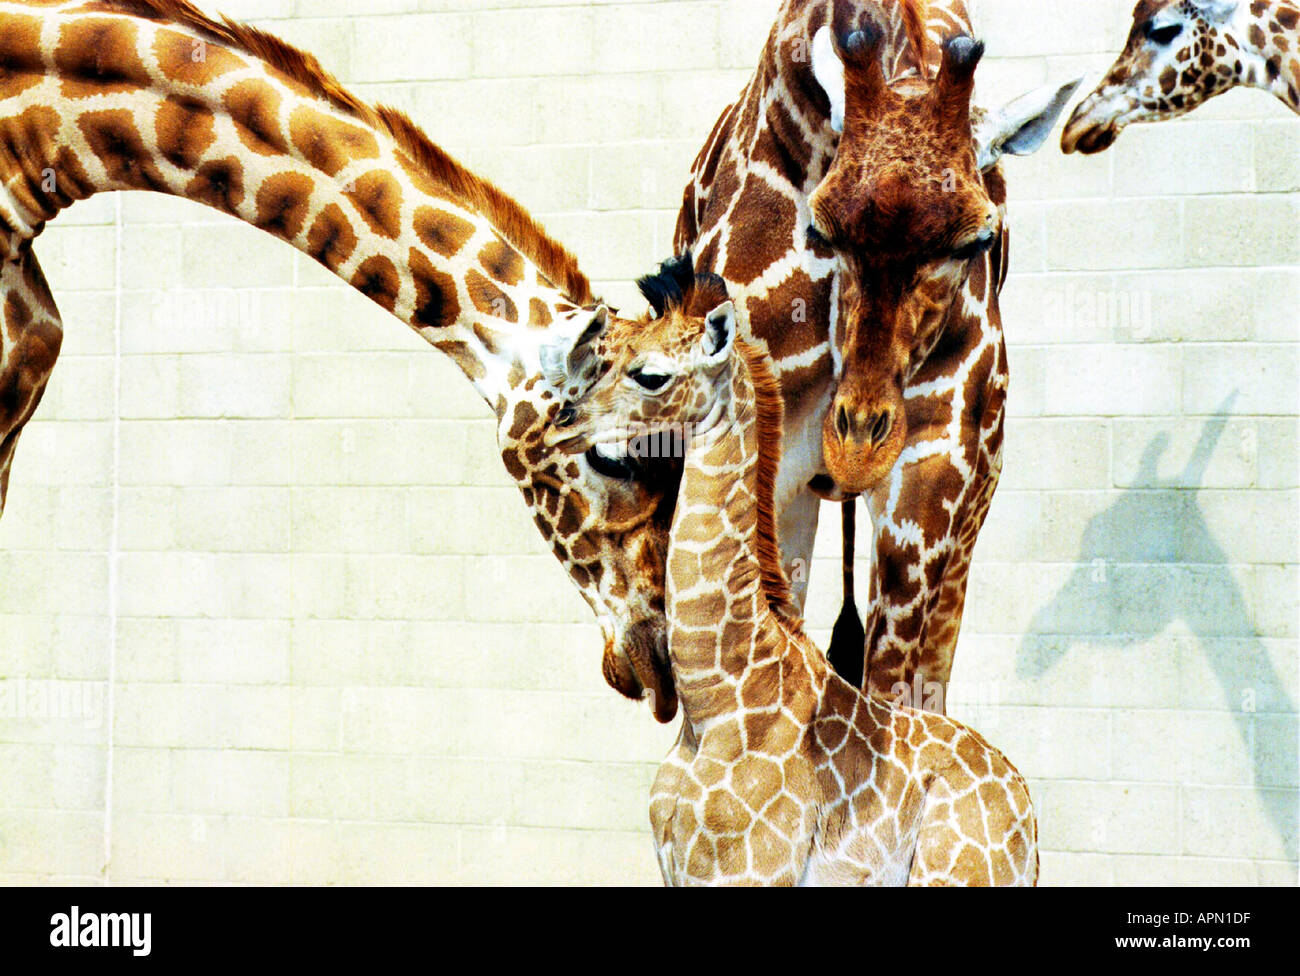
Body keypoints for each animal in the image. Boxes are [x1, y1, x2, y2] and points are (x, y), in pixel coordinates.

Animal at [544, 259, 1038, 886]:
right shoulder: (678, 869)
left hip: (959, 874)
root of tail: (1027, 807)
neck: (714, 700)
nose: (561, 422)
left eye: (651, 375)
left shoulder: (747, 871)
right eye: (603, 360)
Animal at [676, 0, 1080, 703]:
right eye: (821, 227)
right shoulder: (760, 464)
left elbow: (887, 685)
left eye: (977, 241)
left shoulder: (934, 470)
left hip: (973, 502)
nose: (856, 450)